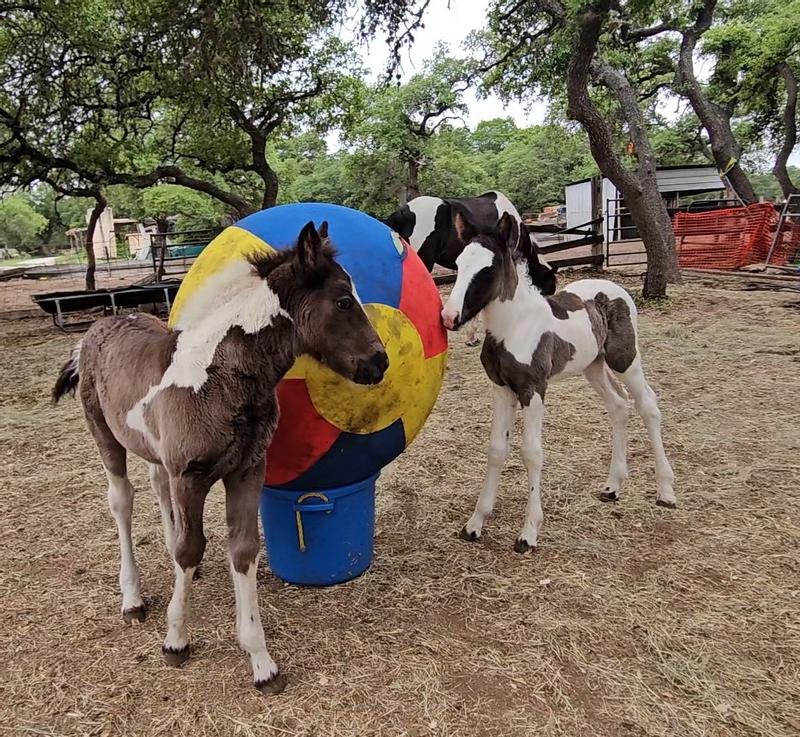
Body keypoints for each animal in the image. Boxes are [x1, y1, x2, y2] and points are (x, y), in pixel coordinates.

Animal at [52, 221, 388, 694]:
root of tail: (96, 329)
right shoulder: (190, 476)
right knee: (122, 501)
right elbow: (190, 548)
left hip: (155, 451)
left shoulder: (247, 469)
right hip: (105, 436)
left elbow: (242, 550)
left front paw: (261, 662)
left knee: (157, 489)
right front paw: (176, 640)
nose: (380, 362)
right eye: (343, 300)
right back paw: (132, 598)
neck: (218, 375)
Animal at [440, 212, 676, 553]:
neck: (514, 327)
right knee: (619, 406)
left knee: (648, 405)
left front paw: (528, 532)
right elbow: (497, 449)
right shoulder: (501, 390)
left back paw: (666, 491)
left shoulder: (534, 389)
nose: (449, 317)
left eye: (489, 268)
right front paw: (475, 524)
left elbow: (531, 453)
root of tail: (613, 287)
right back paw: (613, 486)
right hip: (593, 365)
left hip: (625, 359)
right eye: (458, 264)